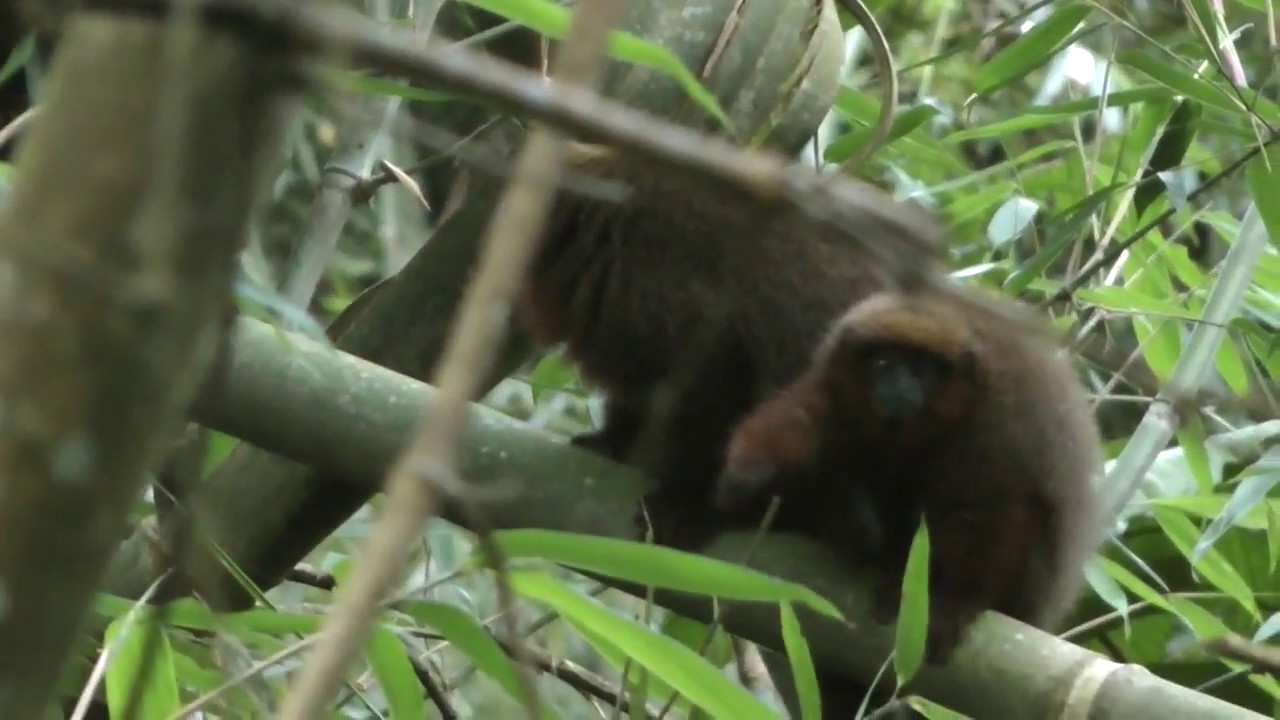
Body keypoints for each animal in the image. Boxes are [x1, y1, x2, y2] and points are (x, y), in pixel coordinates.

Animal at [714, 289, 1108, 716]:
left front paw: (952, 599)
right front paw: (757, 474)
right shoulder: (833, 382)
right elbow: (800, 421)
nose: (899, 385)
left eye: (921, 371)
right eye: (884, 363)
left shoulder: (998, 421)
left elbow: (994, 507)